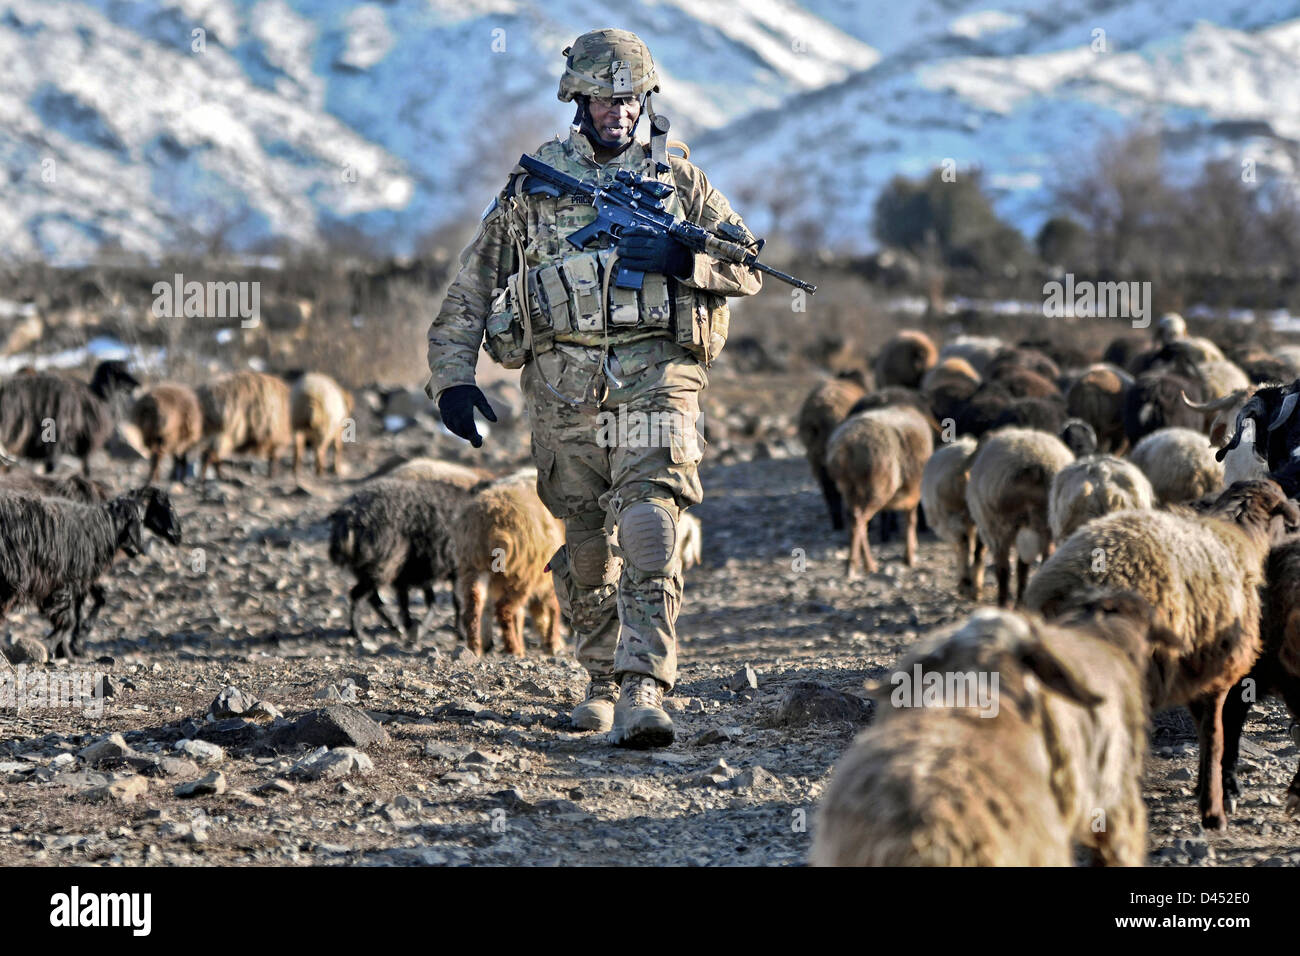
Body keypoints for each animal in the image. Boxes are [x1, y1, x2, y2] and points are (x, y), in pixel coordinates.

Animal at [328, 476, 475, 642]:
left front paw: (414, 629)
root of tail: (349, 519)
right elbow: (456, 601)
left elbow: (420, 602)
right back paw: (359, 633)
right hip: (382, 565)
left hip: (368, 568)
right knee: (358, 595)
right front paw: (461, 633)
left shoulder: (415, 572)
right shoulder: (453, 567)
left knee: (372, 598)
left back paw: (394, 627)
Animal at [452, 474, 564, 656]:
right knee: (504, 609)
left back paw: (475, 647)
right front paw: (553, 644)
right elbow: (553, 607)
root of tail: (488, 519)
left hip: (473, 565)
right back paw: (513, 649)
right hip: (519, 572)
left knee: (473, 603)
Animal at [825, 405, 933, 577]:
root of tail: (847, 446)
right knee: (859, 520)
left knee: (853, 518)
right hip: (878, 488)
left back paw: (856, 564)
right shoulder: (913, 493)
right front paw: (909, 557)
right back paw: (861, 565)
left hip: (849, 489)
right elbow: (911, 521)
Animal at [965, 427, 1074, 607]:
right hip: (1050, 524)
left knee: (1003, 568)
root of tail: (1036, 464)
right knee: (1045, 560)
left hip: (999, 525)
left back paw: (1003, 603)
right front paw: (1021, 600)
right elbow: (1023, 566)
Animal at [1024, 479, 1300, 830]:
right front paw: (1214, 810)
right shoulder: (1219, 674)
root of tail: (1062, 589)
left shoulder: (1196, 671)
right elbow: (1217, 736)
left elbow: (1208, 732)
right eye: (1288, 522)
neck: (1237, 533)